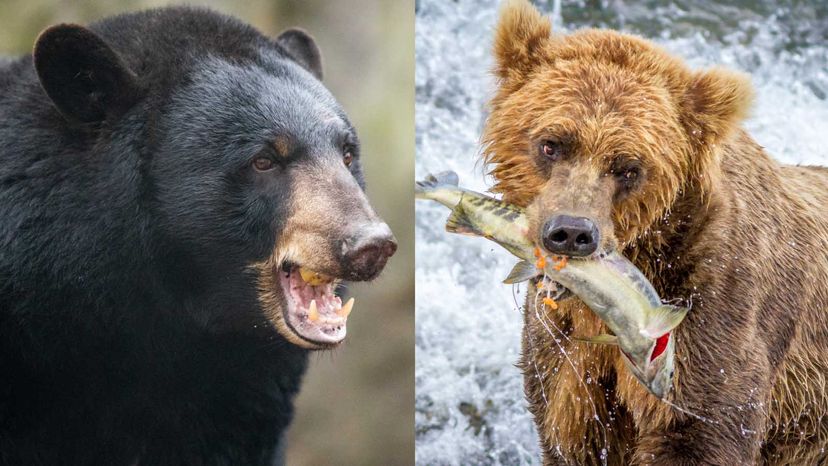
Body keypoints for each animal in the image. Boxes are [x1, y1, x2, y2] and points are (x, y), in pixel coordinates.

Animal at [478, 1, 828, 464]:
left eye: (629, 167)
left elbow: (699, 429)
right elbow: (572, 433)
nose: (571, 232)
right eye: (551, 144)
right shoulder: (568, 361)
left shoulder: (711, 313)